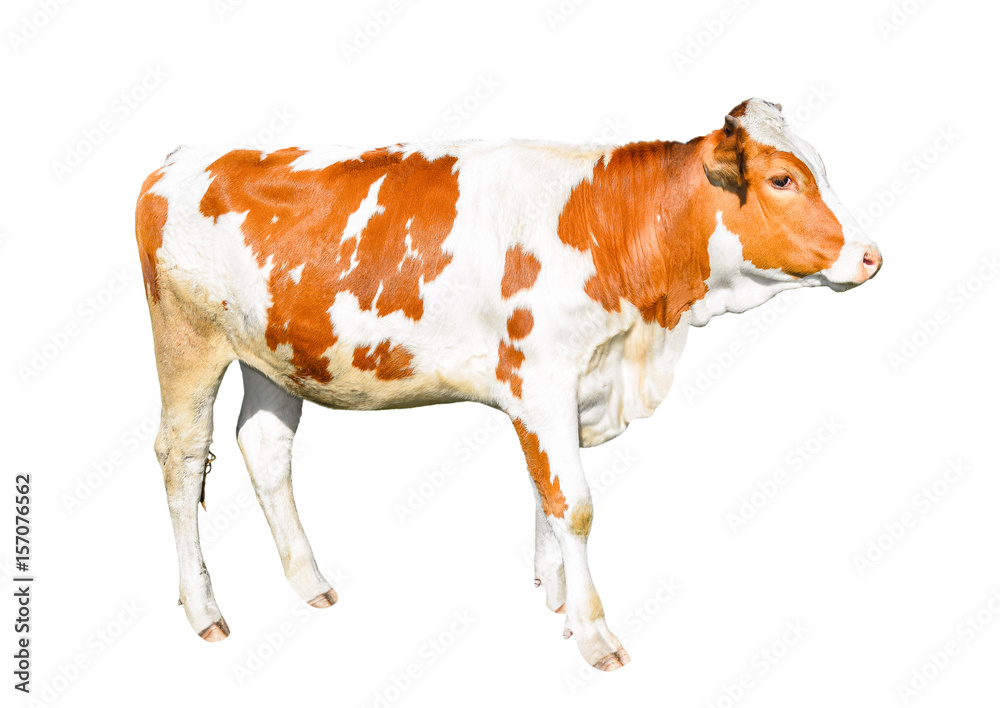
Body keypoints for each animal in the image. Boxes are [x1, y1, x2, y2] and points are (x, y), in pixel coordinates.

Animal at [135, 98, 881, 671]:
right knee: (181, 458)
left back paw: (310, 581)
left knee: (263, 448)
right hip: (187, 341)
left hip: (276, 352)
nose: (872, 255)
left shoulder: (554, 393)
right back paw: (203, 608)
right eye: (783, 179)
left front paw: (555, 598)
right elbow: (573, 504)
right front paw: (594, 633)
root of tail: (180, 155)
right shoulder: (542, 381)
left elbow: (544, 492)